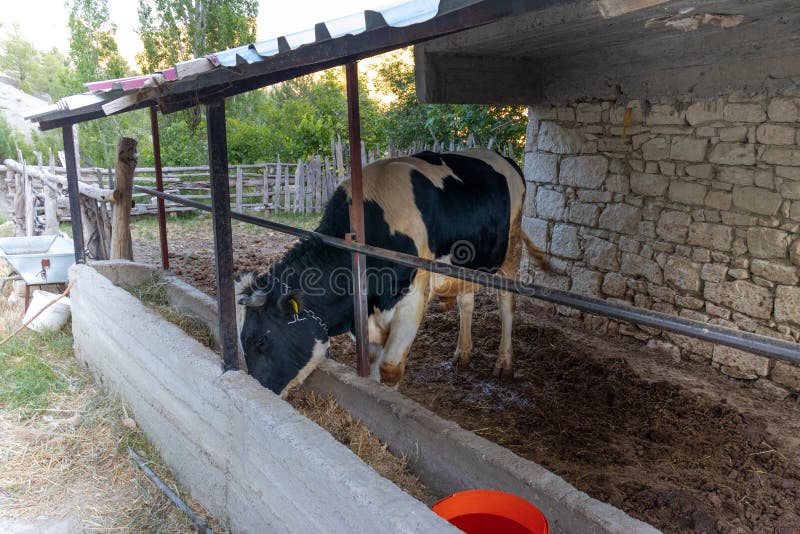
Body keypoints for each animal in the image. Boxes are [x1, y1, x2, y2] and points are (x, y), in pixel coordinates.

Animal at [235, 148, 549, 397]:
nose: (256, 390)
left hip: (511, 249)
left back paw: (504, 363)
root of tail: (502, 157)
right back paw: (463, 353)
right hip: (463, 267)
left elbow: (389, 367)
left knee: (507, 305)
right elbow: (375, 363)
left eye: (260, 341)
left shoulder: (413, 297)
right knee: (466, 302)